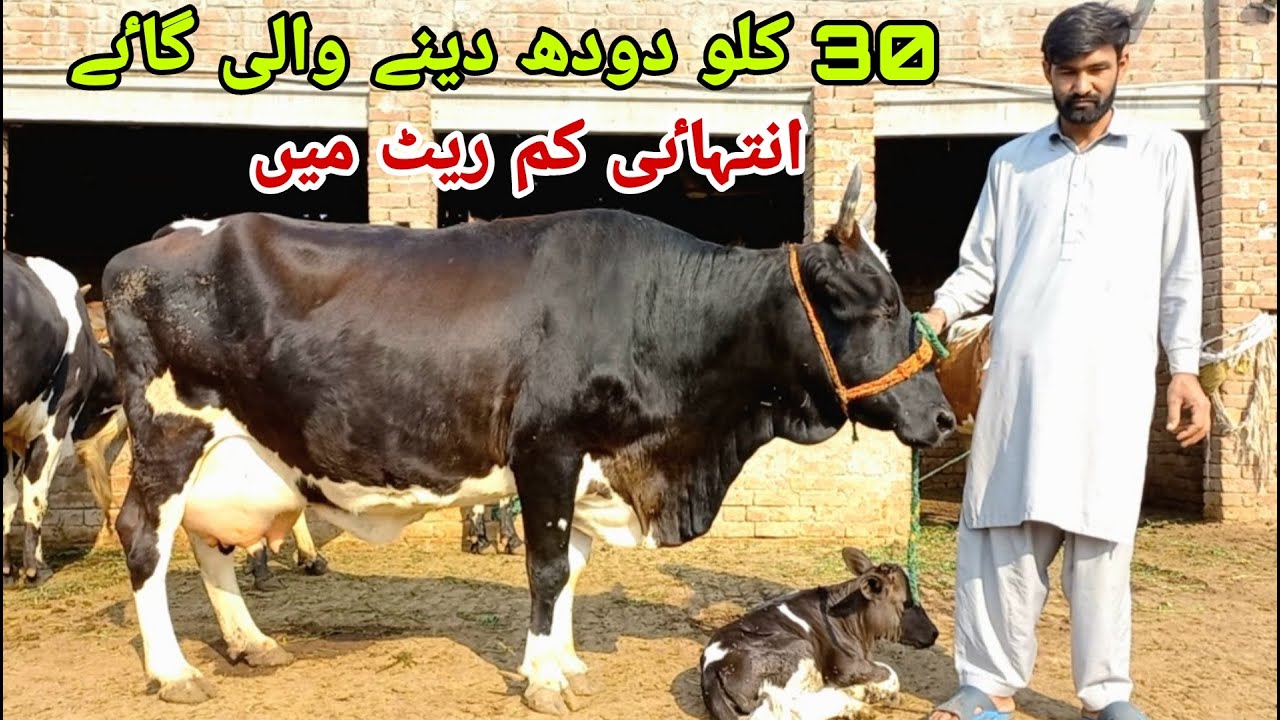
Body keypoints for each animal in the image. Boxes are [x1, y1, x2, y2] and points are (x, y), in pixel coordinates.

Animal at [699, 547, 938, 720]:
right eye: (907, 603)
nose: (935, 633)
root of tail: (712, 669)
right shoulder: (846, 667)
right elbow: (891, 673)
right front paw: (878, 692)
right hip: (798, 651)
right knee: (789, 707)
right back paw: (855, 704)